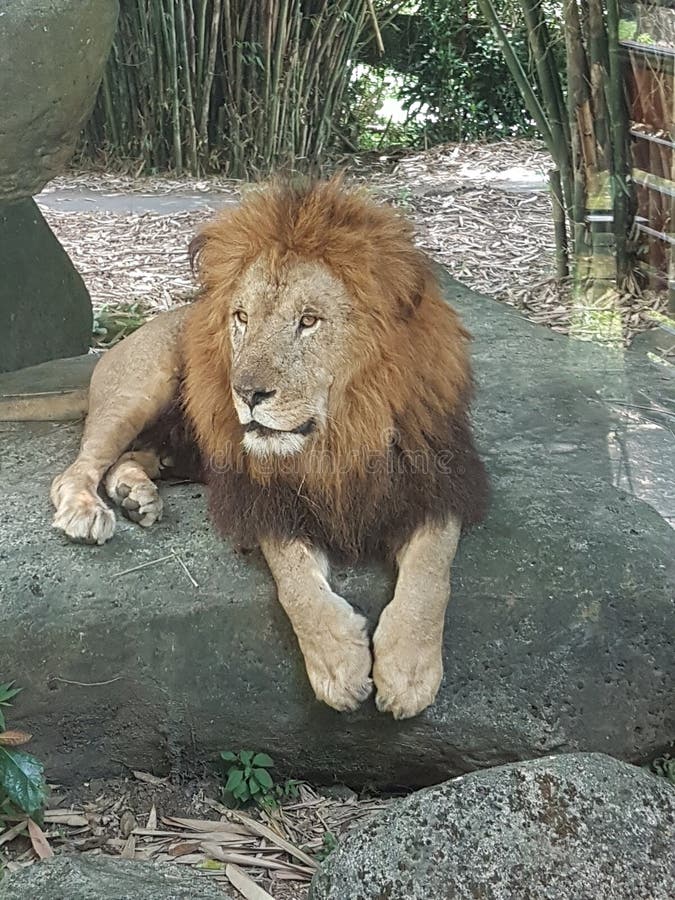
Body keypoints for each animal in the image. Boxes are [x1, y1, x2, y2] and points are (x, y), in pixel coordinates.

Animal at [50, 179, 488, 719]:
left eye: (309, 321)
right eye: (241, 317)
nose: (246, 393)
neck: (341, 435)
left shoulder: (436, 483)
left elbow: (431, 574)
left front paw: (408, 670)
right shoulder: (266, 497)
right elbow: (296, 580)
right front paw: (338, 663)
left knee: (128, 458)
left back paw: (137, 497)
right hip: (140, 386)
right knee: (80, 467)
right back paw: (86, 512)